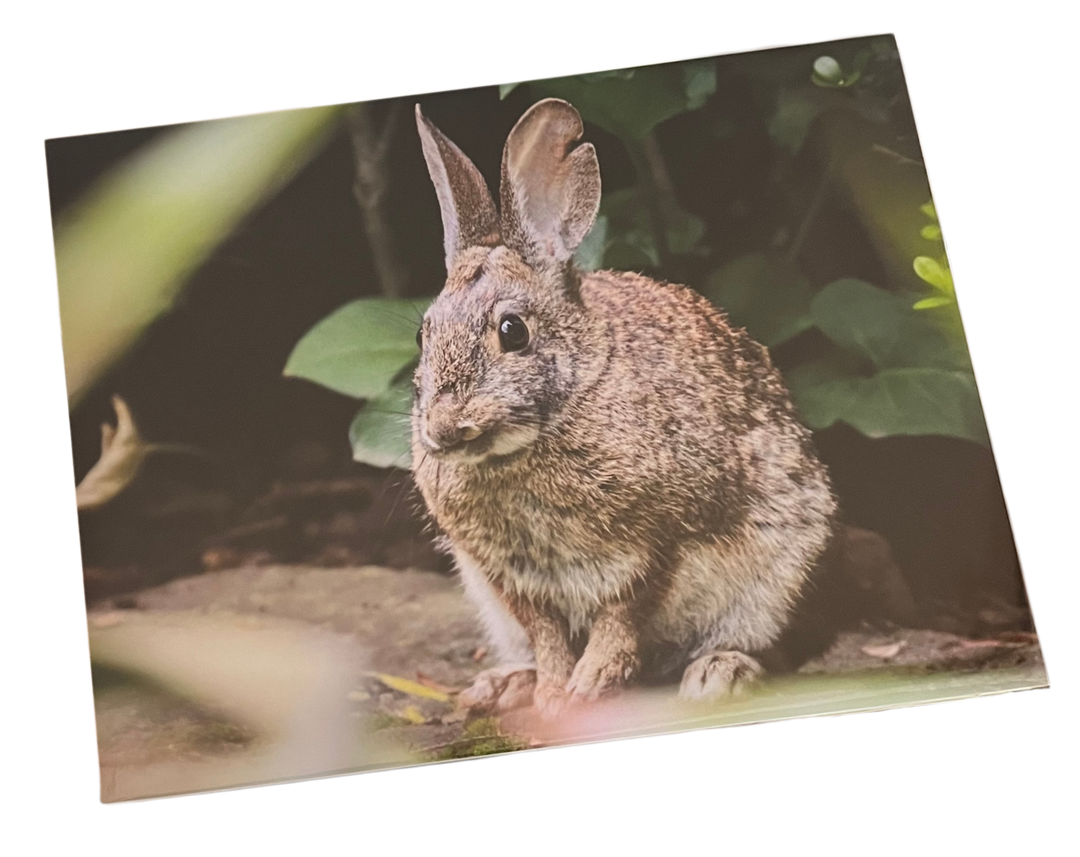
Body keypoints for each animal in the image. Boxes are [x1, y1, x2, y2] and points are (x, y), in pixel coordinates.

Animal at [410, 98, 839, 717]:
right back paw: (501, 687)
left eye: (512, 331)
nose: (443, 429)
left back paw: (719, 674)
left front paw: (587, 687)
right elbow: (547, 634)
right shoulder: (507, 576)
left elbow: (622, 618)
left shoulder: (658, 543)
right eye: (422, 335)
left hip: (779, 571)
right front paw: (552, 696)